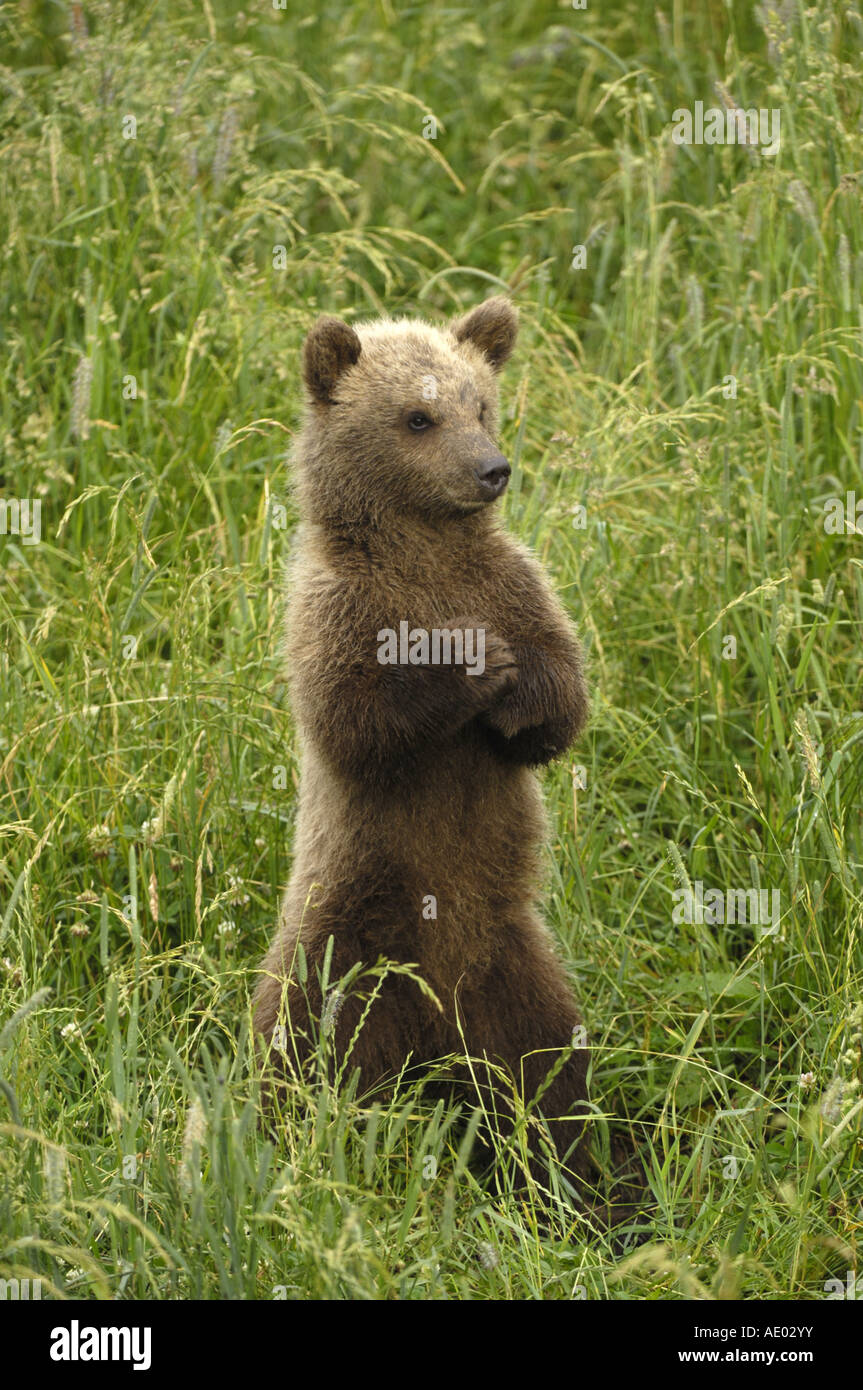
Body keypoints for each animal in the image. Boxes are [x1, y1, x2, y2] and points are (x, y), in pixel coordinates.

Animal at [254, 295, 602, 1200]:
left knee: (553, 1075)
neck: (426, 555)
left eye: (480, 404)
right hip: (340, 946)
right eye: (417, 416)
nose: (491, 470)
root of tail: (437, 1033)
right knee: (294, 1051)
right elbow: (356, 723)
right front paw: (473, 667)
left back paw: (590, 1184)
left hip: (512, 965)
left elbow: (562, 705)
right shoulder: (334, 615)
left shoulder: (519, 586)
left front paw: (522, 694)